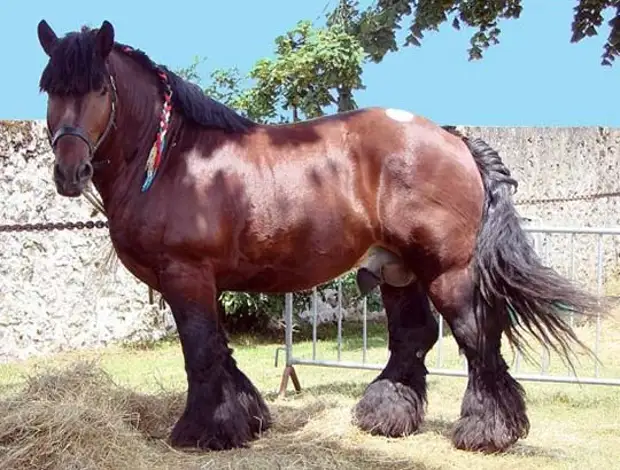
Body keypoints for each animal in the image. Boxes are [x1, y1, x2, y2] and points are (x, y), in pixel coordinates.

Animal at [36, 20, 604, 454]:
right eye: (50, 89)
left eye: (99, 89)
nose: (69, 171)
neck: (176, 157)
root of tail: (453, 138)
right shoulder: (205, 282)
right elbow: (220, 350)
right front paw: (246, 419)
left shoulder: (186, 275)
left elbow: (200, 352)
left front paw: (203, 431)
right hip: (397, 269)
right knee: (415, 336)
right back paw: (385, 415)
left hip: (448, 271)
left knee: (476, 337)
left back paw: (486, 431)